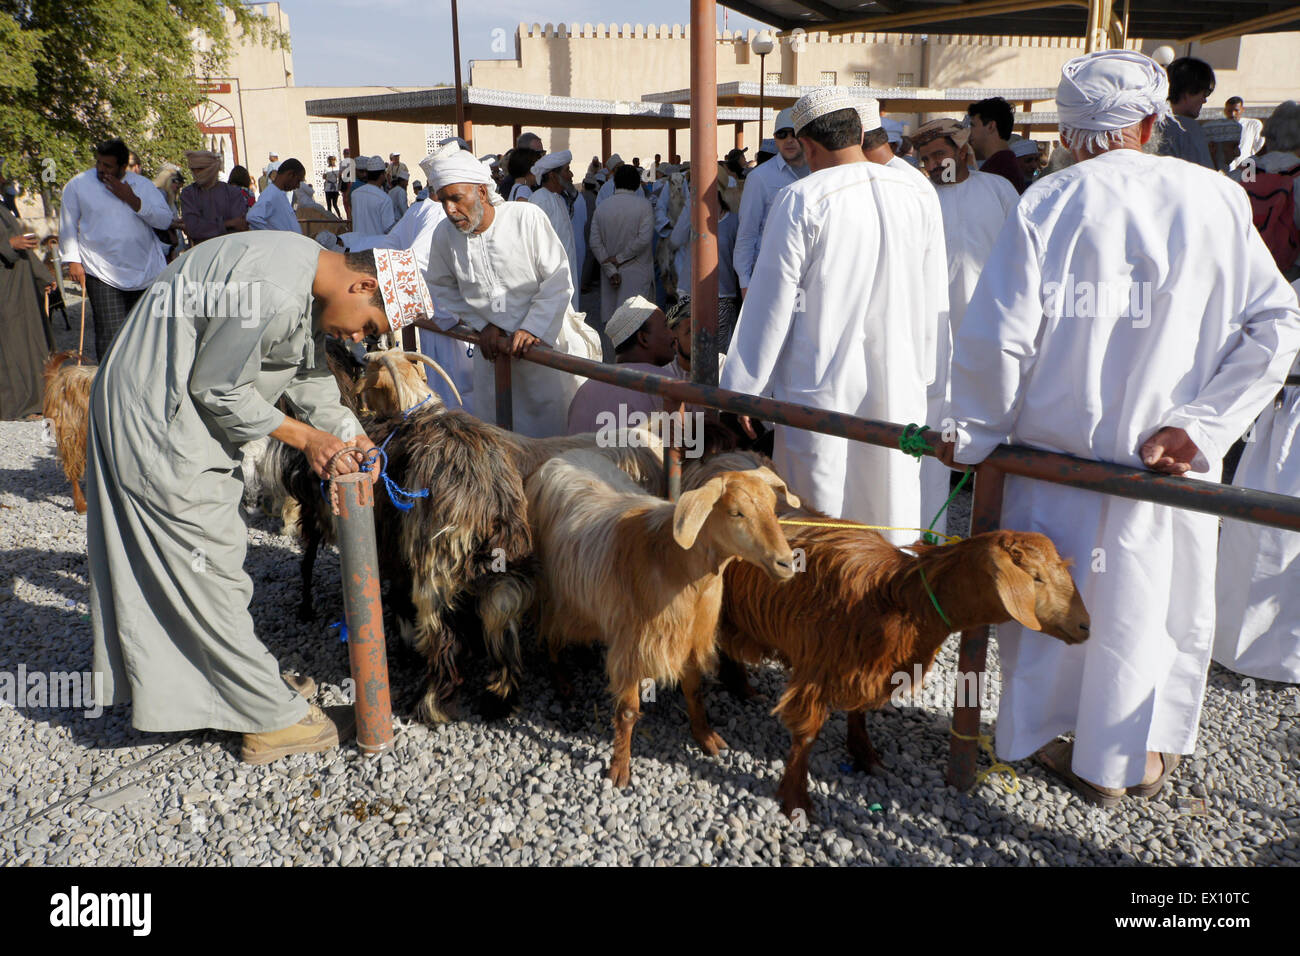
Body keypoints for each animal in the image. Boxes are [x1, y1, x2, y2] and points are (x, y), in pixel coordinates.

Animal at [526, 448, 798, 787]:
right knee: (551, 631)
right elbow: (628, 711)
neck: (675, 564)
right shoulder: (632, 644)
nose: (786, 563)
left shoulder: (691, 637)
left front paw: (706, 737)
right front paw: (620, 768)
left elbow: (694, 691)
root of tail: (561, 456)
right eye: (736, 513)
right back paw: (562, 680)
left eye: (773, 507)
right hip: (555, 589)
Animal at [681, 452, 1091, 818]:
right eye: (1035, 577)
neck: (898, 598)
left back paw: (740, 685)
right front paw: (796, 798)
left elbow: (859, 712)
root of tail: (719, 460)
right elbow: (806, 736)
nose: (1086, 625)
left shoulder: (868, 668)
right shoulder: (818, 669)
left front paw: (866, 756)